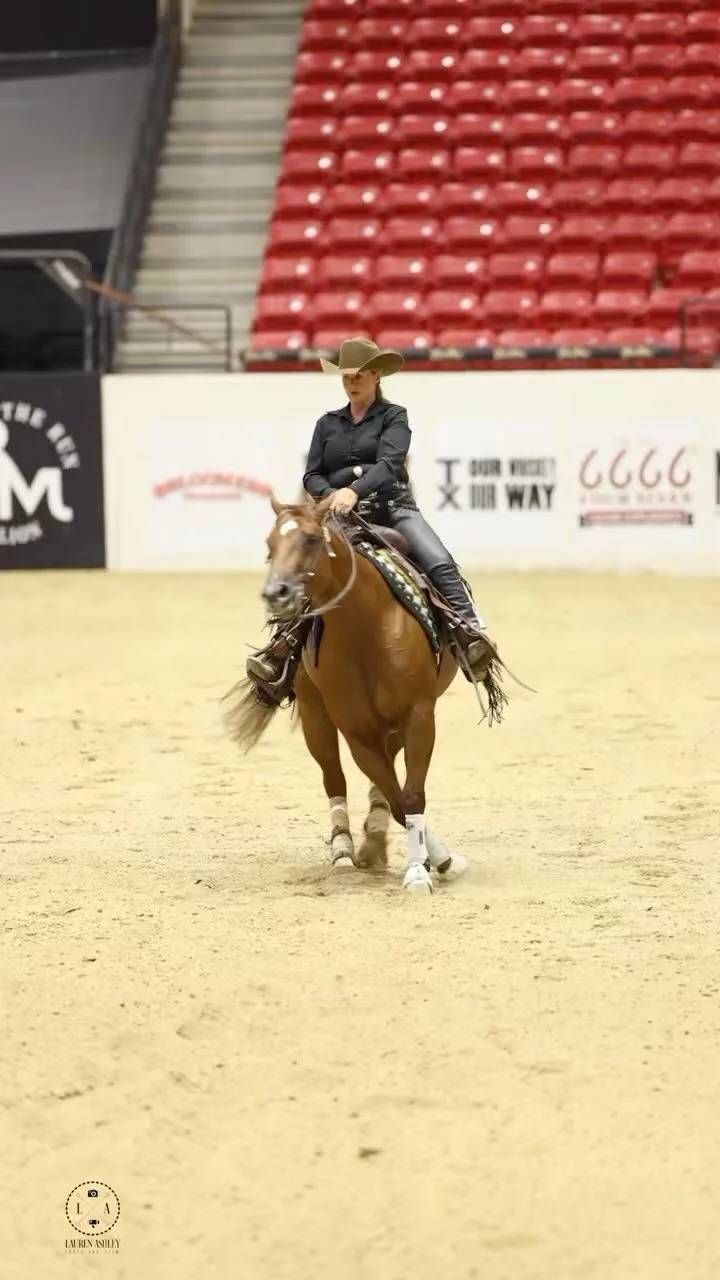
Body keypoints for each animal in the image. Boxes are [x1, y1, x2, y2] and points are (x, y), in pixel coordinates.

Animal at [224, 493, 484, 894]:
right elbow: (396, 797)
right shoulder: (355, 729)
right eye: (269, 545)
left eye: (311, 539)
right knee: (336, 778)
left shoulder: (419, 715)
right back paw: (345, 850)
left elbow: (409, 793)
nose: (276, 593)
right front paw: (429, 860)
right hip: (316, 718)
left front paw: (421, 869)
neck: (366, 629)